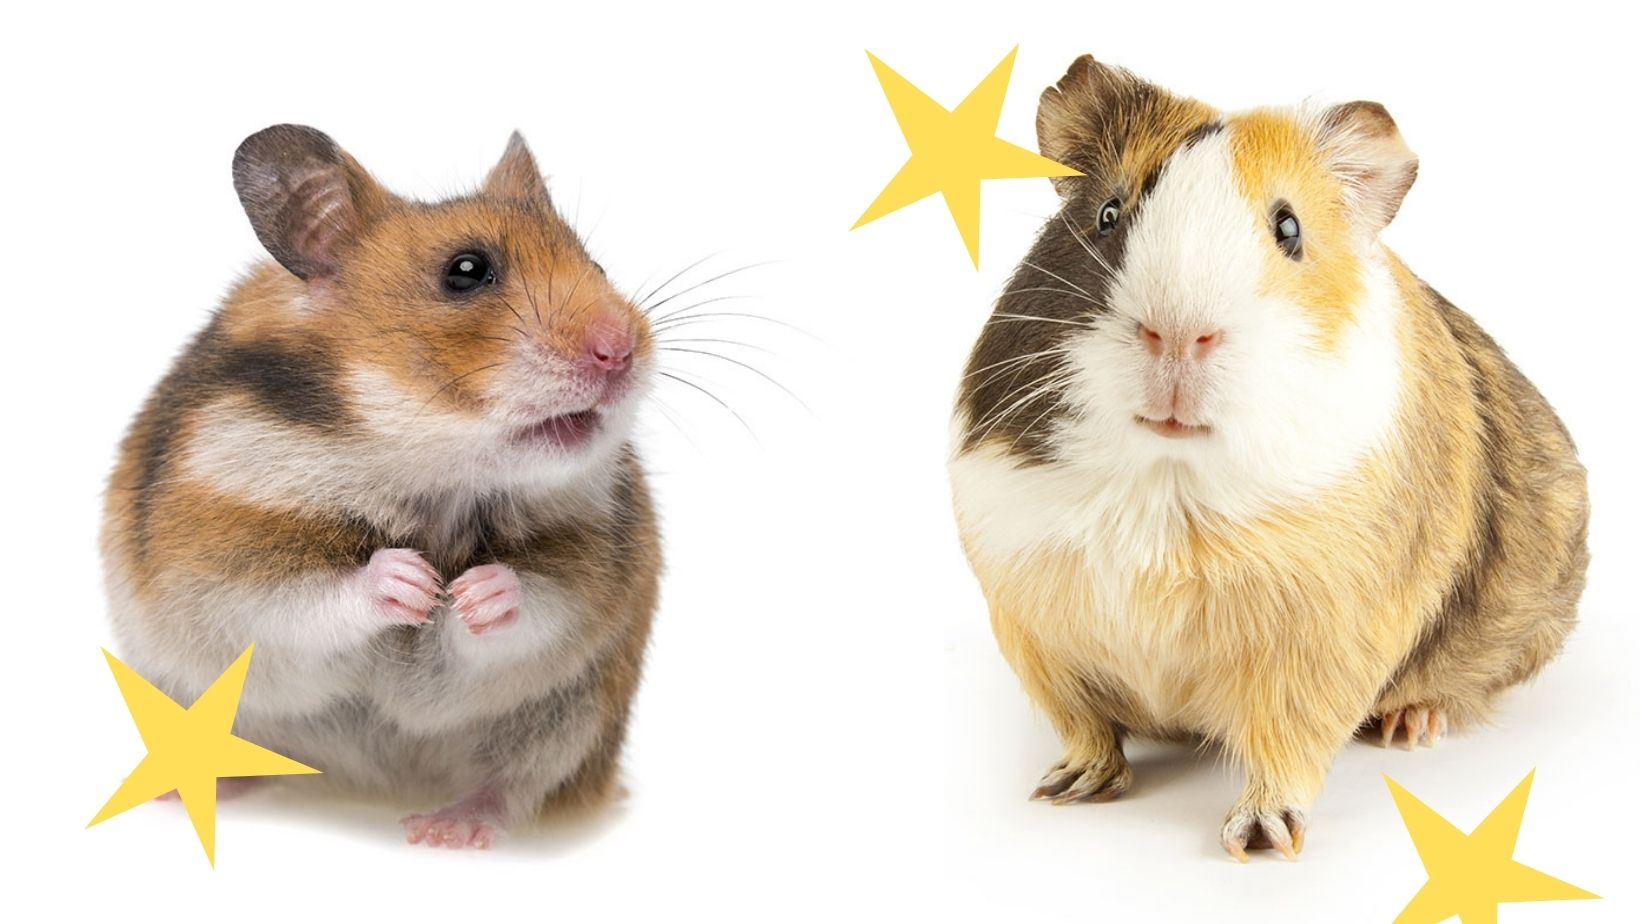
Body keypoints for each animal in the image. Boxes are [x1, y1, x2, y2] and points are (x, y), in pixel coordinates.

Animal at [100, 125, 661, 849]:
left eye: (594, 262)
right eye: (466, 271)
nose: (621, 350)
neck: (430, 470)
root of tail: (366, 787)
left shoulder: (590, 570)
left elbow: (538, 603)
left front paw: (472, 593)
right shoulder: (216, 562)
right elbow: (301, 599)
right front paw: (412, 582)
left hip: (570, 726)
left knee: (512, 789)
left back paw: (447, 830)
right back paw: (187, 791)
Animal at [947, 56, 1588, 860]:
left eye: (1289, 229)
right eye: (1109, 215)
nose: (1177, 334)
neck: (1166, 490)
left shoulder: (1321, 640)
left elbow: (1286, 748)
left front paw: (1257, 840)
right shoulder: (1034, 630)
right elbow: (1085, 725)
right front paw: (1068, 788)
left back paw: (1408, 727)